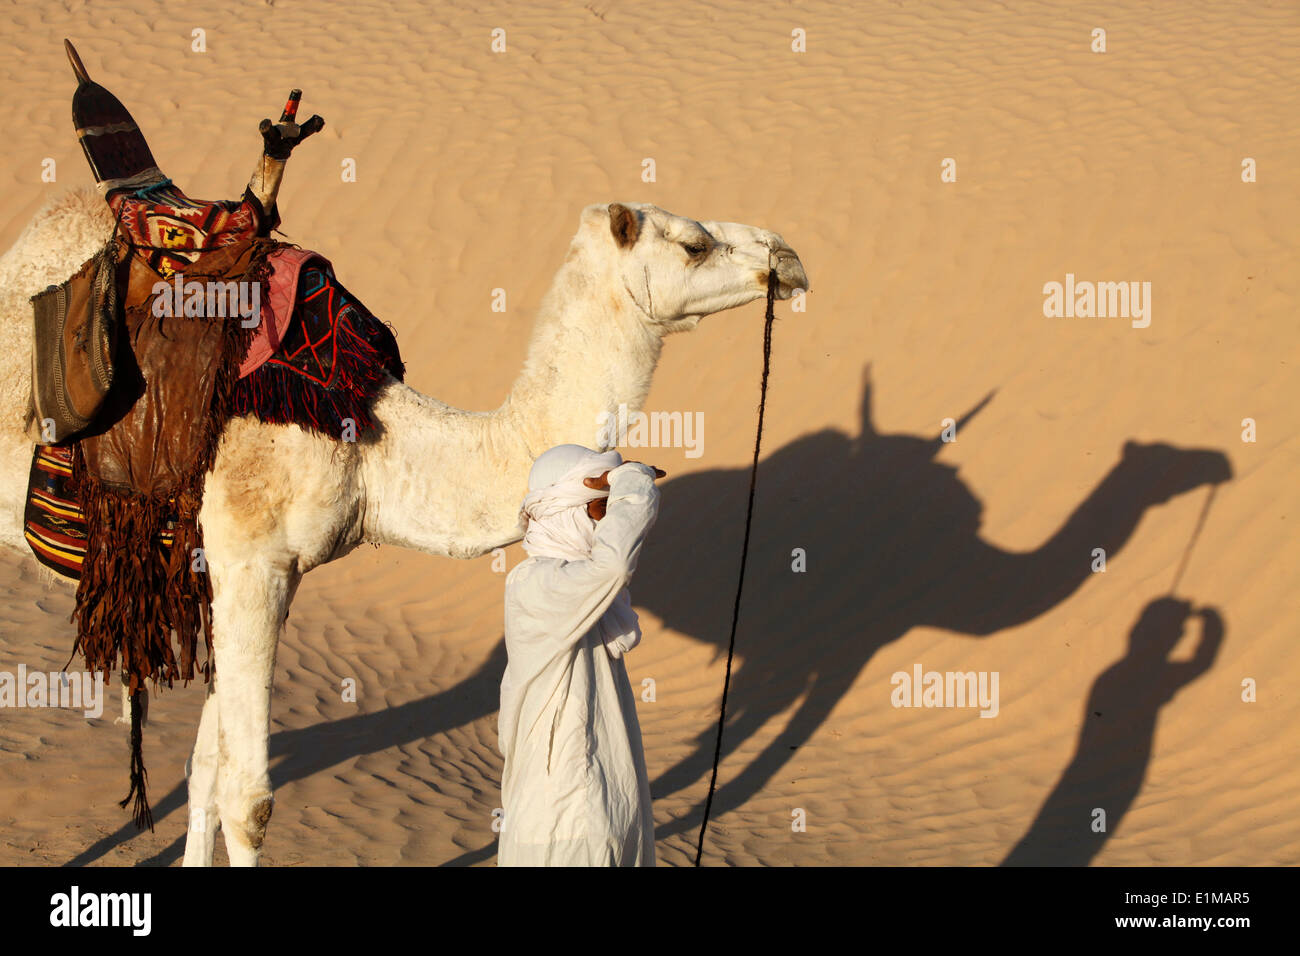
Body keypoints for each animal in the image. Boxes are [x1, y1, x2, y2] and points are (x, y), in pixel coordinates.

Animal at [0, 189, 809, 865]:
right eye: (694, 243)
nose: (788, 256)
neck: (372, 446)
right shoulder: (248, 559)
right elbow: (249, 799)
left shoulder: (257, 574)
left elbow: (206, 772)